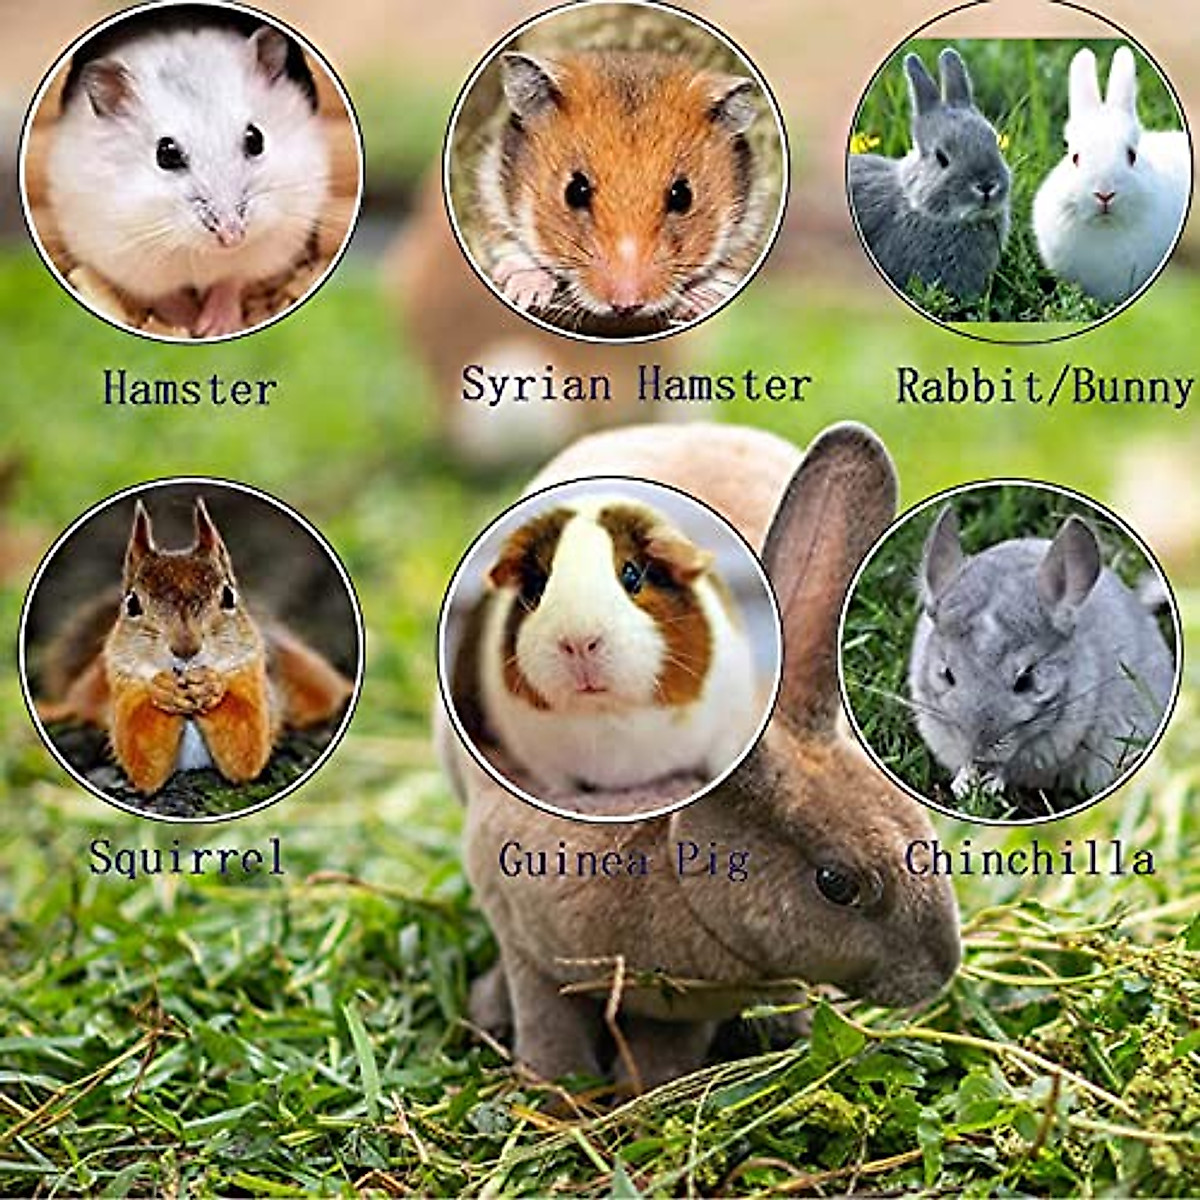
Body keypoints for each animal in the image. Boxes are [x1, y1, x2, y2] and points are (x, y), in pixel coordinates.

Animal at [47, 11, 329, 337]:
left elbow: (230, 281)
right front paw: (188, 323)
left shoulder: (267, 247)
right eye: (166, 154)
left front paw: (214, 327)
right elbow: (164, 296)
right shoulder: (124, 257)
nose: (233, 237)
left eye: (255, 138)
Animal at [473, 496, 760, 795]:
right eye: (537, 587)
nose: (579, 642)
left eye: (631, 575)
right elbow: (561, 786)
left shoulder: (728, 729)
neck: (607, 712)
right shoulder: (539, 759)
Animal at [476, 50, 768, 334]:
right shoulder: (493, 189)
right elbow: (512, 244)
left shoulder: (750, 220)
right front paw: (524, 293)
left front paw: (701, 298)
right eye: (575, 191)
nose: (626, 306)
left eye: (683, 196)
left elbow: (728, 267)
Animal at [910, 505, 1175, 803]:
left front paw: (990, 785)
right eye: (947, 674)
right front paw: (963, 785)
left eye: (1026, 680)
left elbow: (1010, 765)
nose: (979, 749)